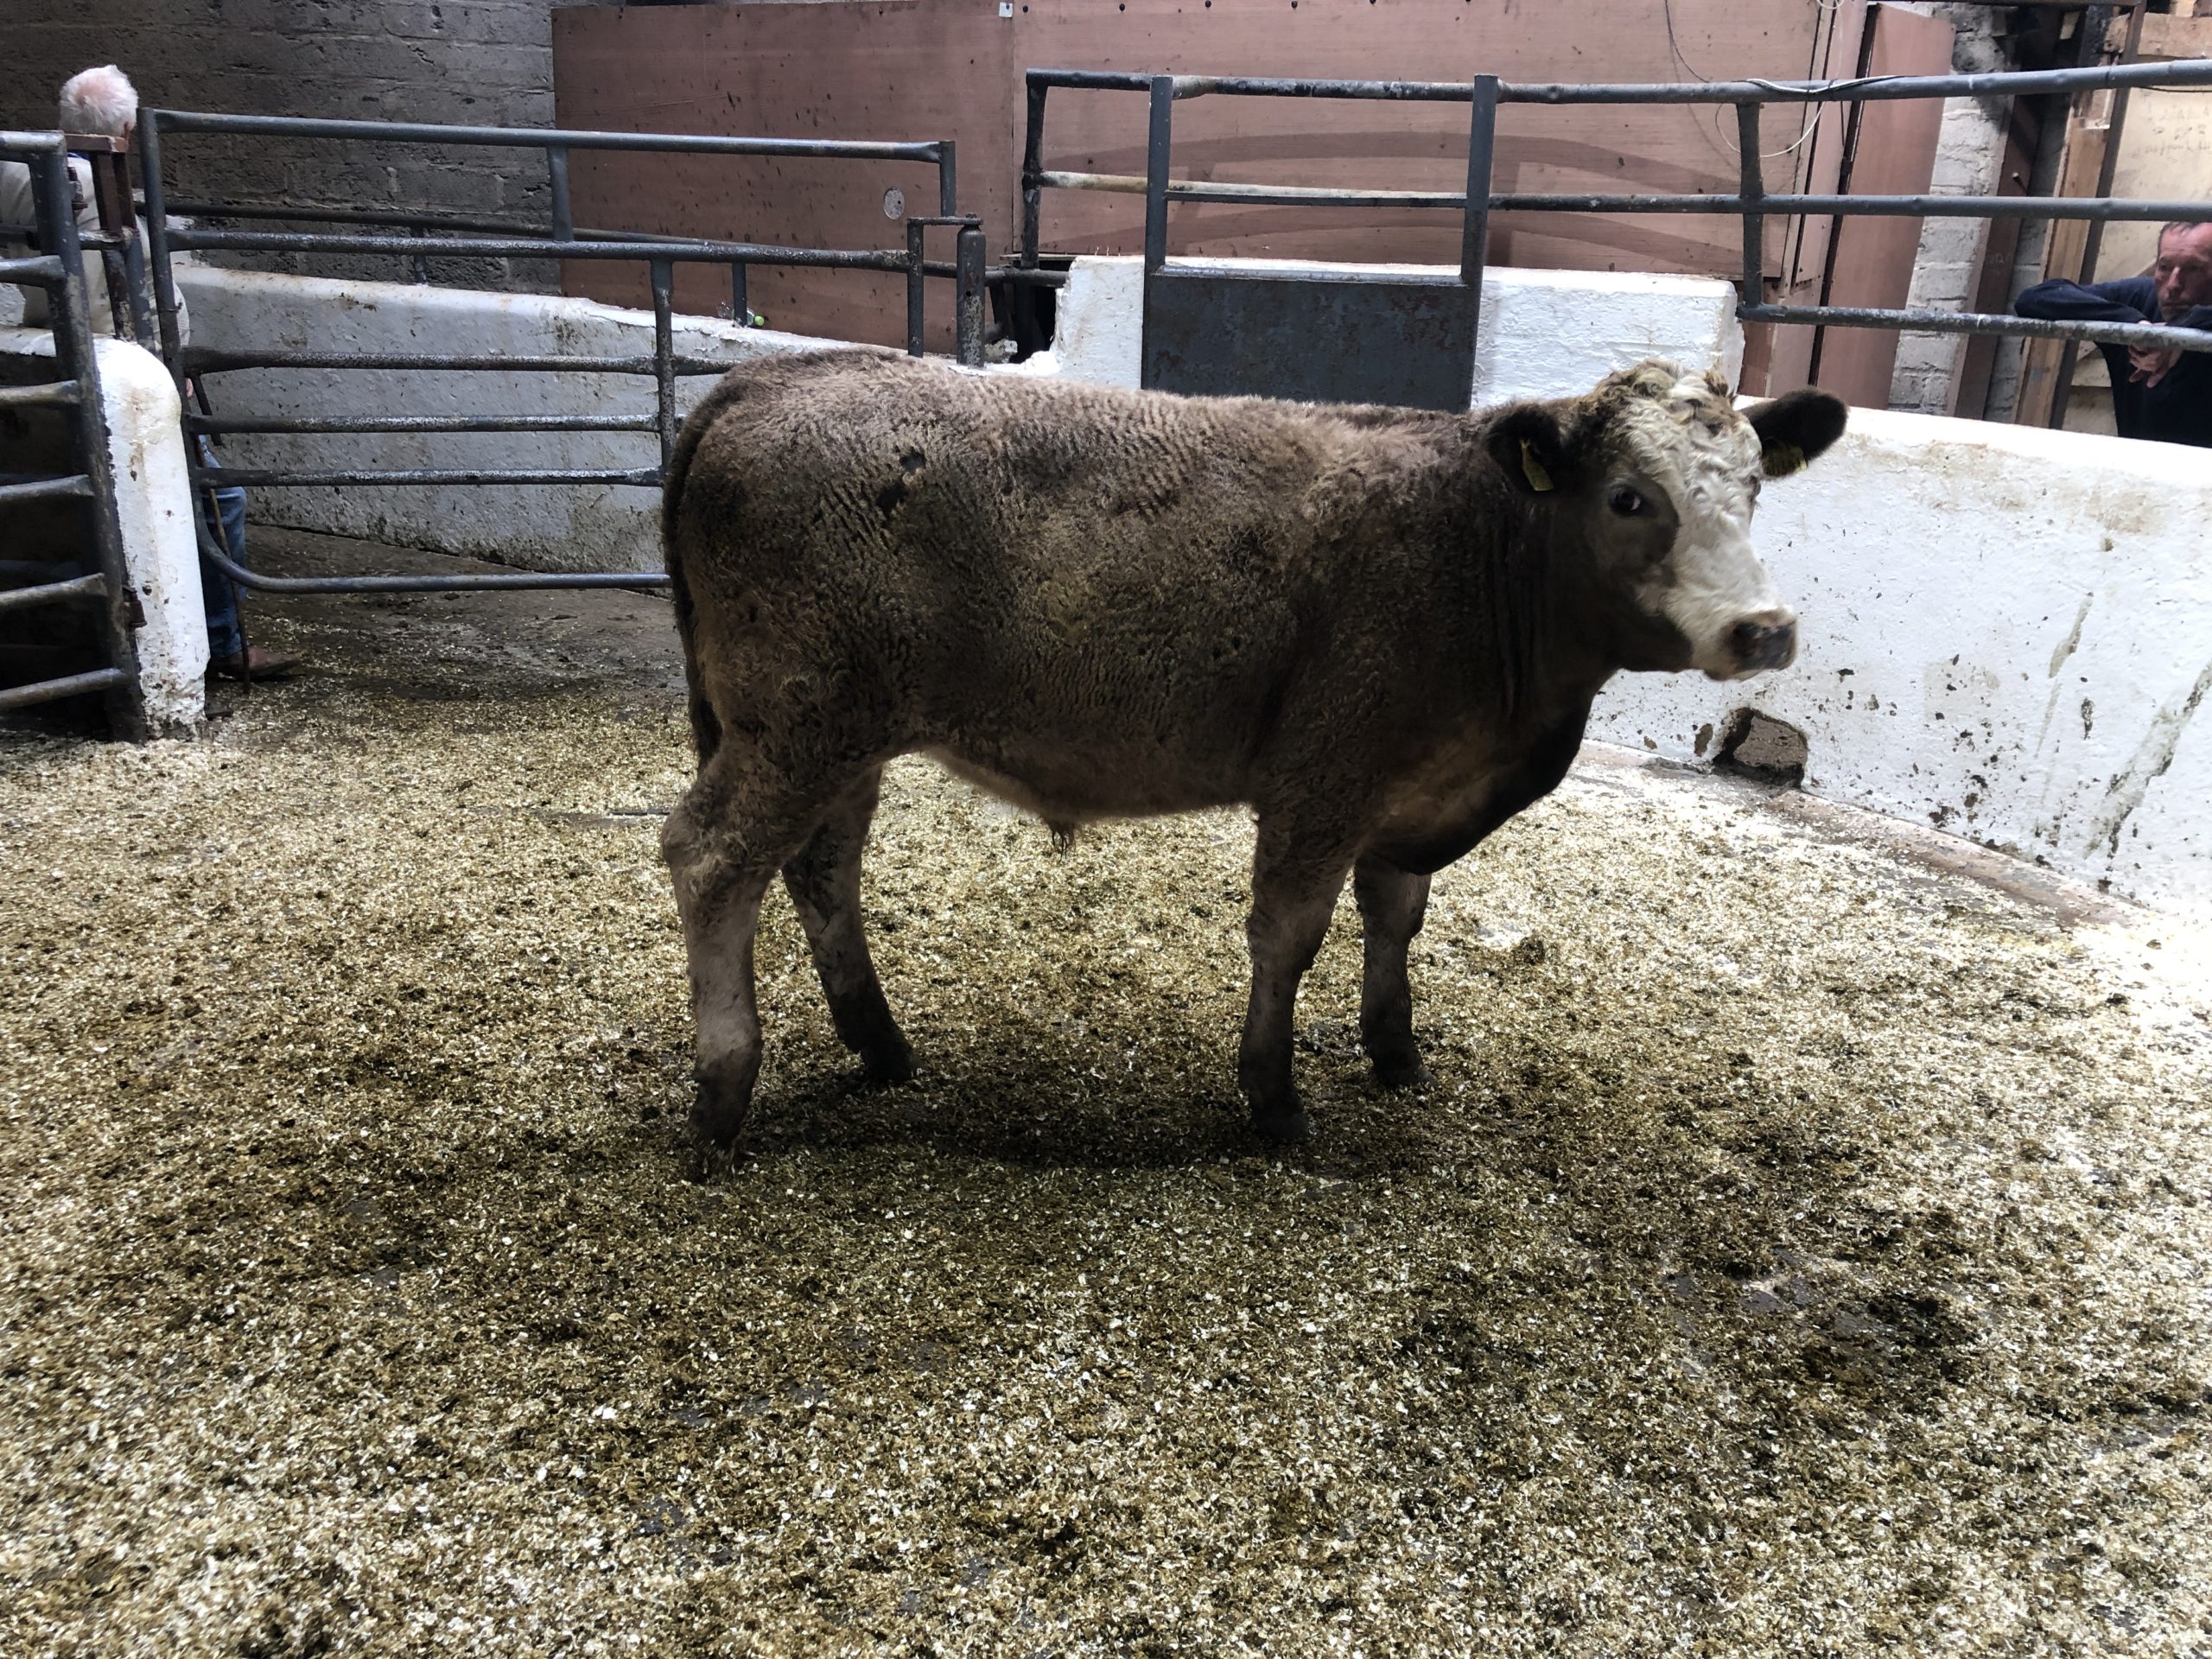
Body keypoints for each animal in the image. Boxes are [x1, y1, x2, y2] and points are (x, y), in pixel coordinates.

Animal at [660, 349, 1845, 1146]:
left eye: (1753, 487)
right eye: (1630, 496)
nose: (1763, 628)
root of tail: (770, 377)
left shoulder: (1410, 795)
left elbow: (1394, 922)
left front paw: (1395, 1054)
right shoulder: (1324, 774)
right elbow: (1289, 934)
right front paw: (1273, 1100)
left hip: (844, 735)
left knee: (820, 869)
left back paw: (881, 1046)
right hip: (796, 723)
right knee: (710, 859)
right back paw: (723, 1096)